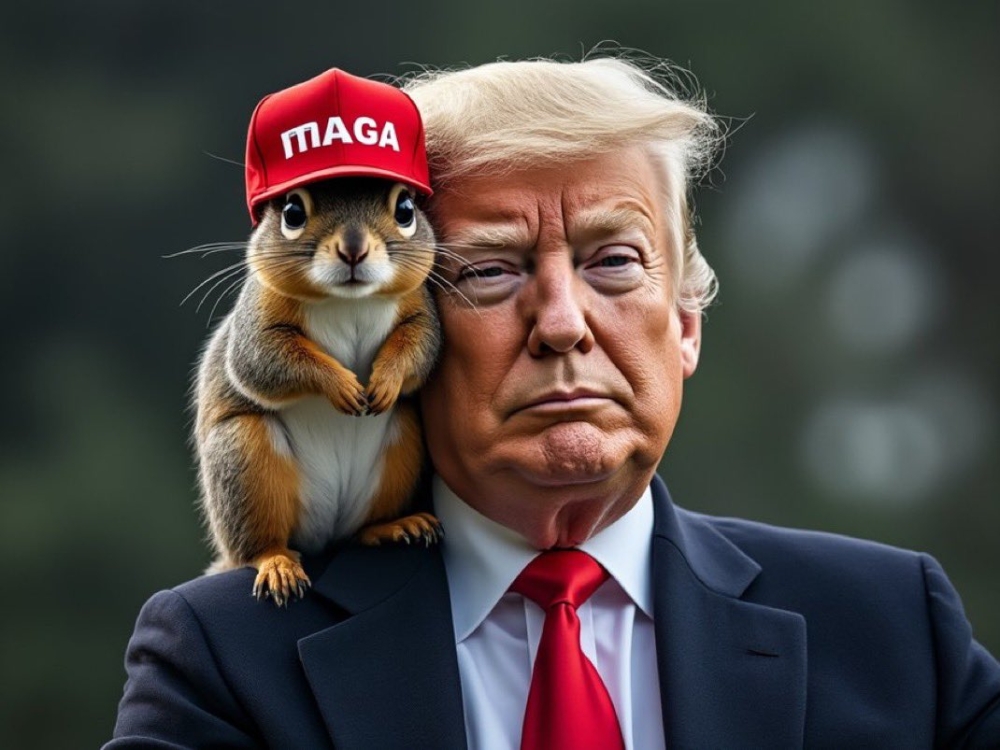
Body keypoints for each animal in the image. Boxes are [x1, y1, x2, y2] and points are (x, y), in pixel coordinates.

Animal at [192, 69, 442, 606]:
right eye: (291, 212)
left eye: (406, 209)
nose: (353, 249)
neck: (349, 302)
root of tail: (325, 531)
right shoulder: (259, 320)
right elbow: (266, 362)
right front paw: (340, 384)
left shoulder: (420, 309)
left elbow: (420, 346)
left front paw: (386, 379)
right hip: (245, 459)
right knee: (259, 543)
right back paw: (277, 564)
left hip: (404, 441)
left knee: (360, 531)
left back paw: (396, 526)